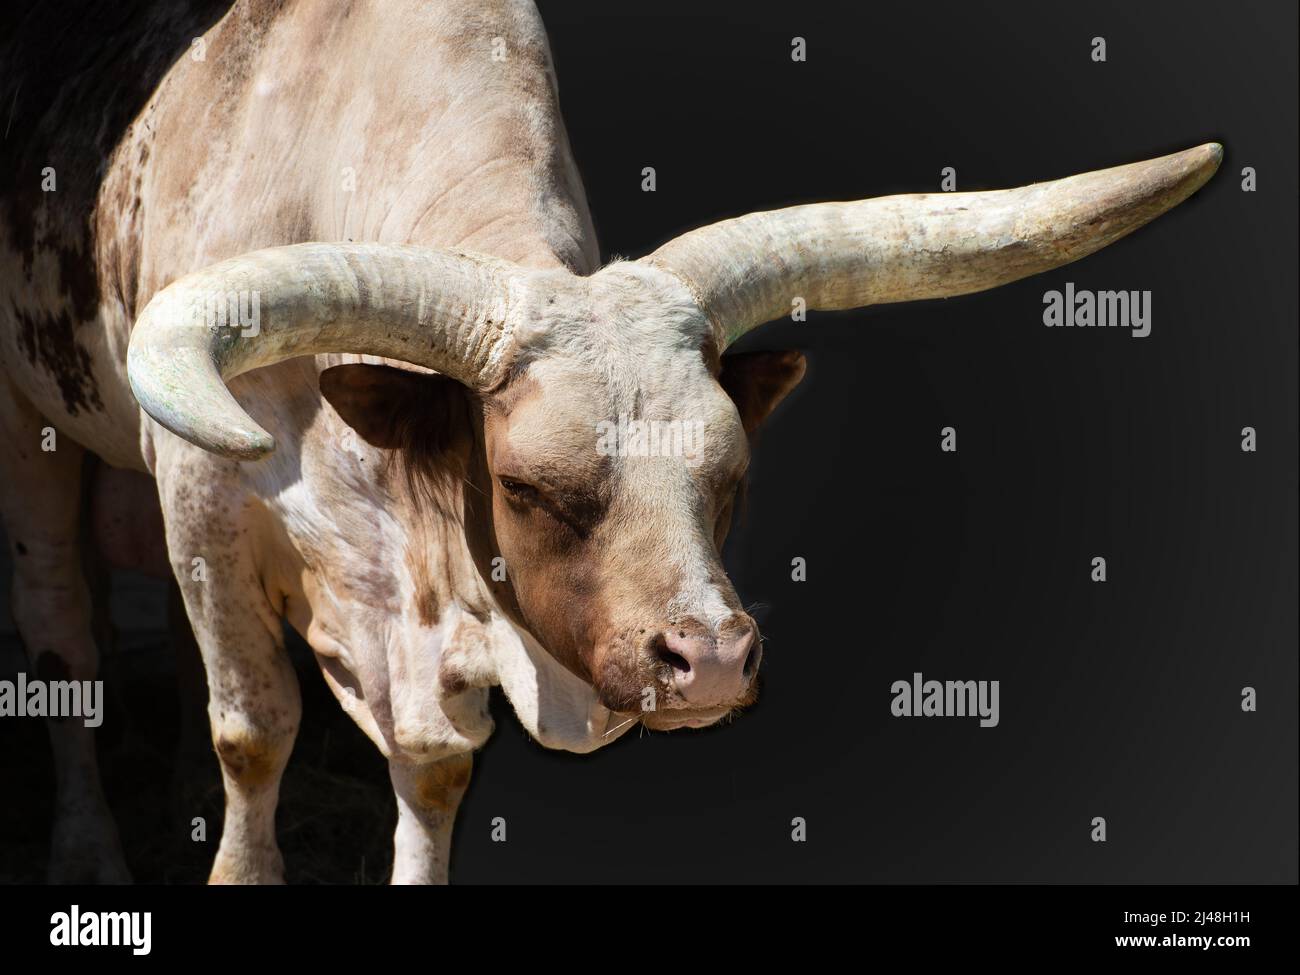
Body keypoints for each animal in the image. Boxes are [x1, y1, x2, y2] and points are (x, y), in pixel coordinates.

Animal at [0, 0, 1220, 884]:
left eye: (731, 475)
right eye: (524, 485)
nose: (711, 660)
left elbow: (431, 771)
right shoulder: (204, 506)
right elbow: (255, 730)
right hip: (32, 426)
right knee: (65, 638)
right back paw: (88, 847)